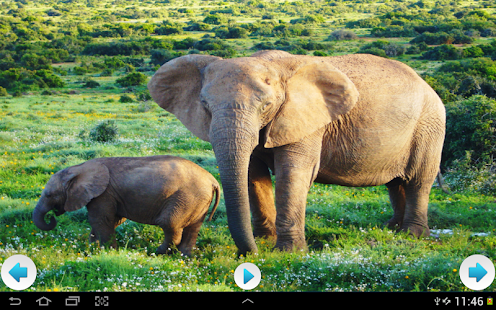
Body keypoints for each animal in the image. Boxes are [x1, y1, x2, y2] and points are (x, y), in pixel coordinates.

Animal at [34, 155, 220, 254]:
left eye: (50, 195)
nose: (52, 217)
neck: (78, 168)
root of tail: (212, 180)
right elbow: (112, 221)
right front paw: (92, 248)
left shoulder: (103, 194)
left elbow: (101, 220)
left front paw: (108, 252)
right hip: (199, 200)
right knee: (193, 227)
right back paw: (183, 256)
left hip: (187, 197)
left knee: (169, 223)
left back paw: (157, 252)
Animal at [147, 50, 446, 254]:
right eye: (205, 105)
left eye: (266, 105)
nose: (251, 254)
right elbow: (253, 175)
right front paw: (266, 241)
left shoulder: (307, 120)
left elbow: (293, 173)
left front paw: (287, 252)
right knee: (396, 183)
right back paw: (391, 229)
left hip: (430, 125)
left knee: (419, 180)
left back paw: (413, 235)